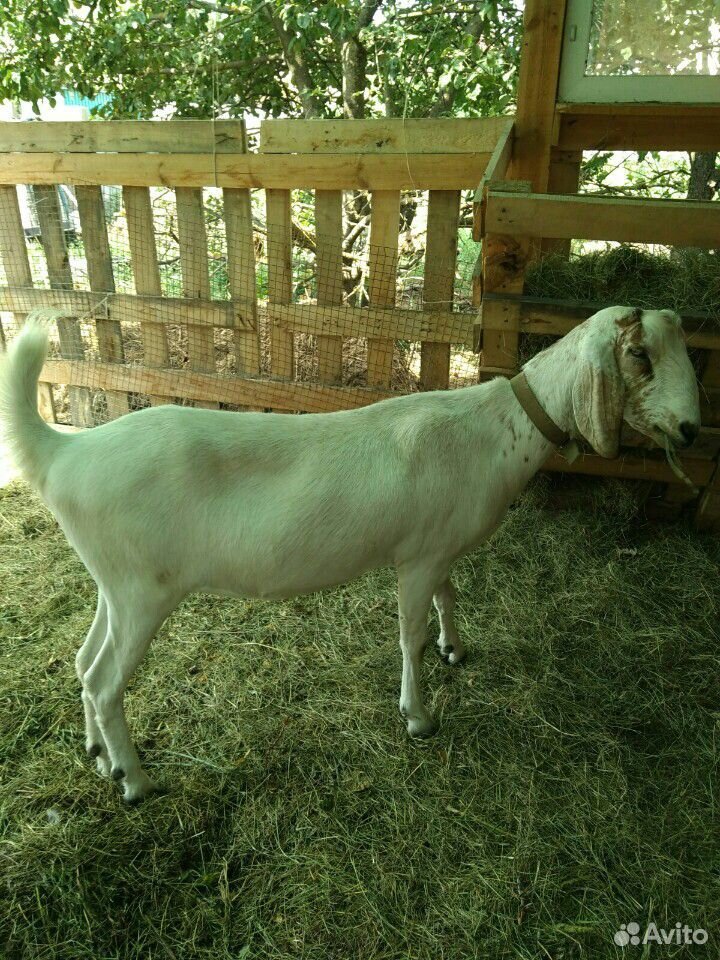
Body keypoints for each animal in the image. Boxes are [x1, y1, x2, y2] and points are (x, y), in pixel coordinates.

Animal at [0, 306, 700, 802]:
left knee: (83, 663)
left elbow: (449, 596)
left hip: (114, 583)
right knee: (104, 681)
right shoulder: (417, 557)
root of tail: (65, 451)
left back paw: (100, 757)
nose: (692, 430)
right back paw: (136, 782)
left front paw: (455, 648)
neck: (498, 428)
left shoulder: (439, 548)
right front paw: (418, 717)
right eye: (638, 354)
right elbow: (409, 635)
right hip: (143, 592)